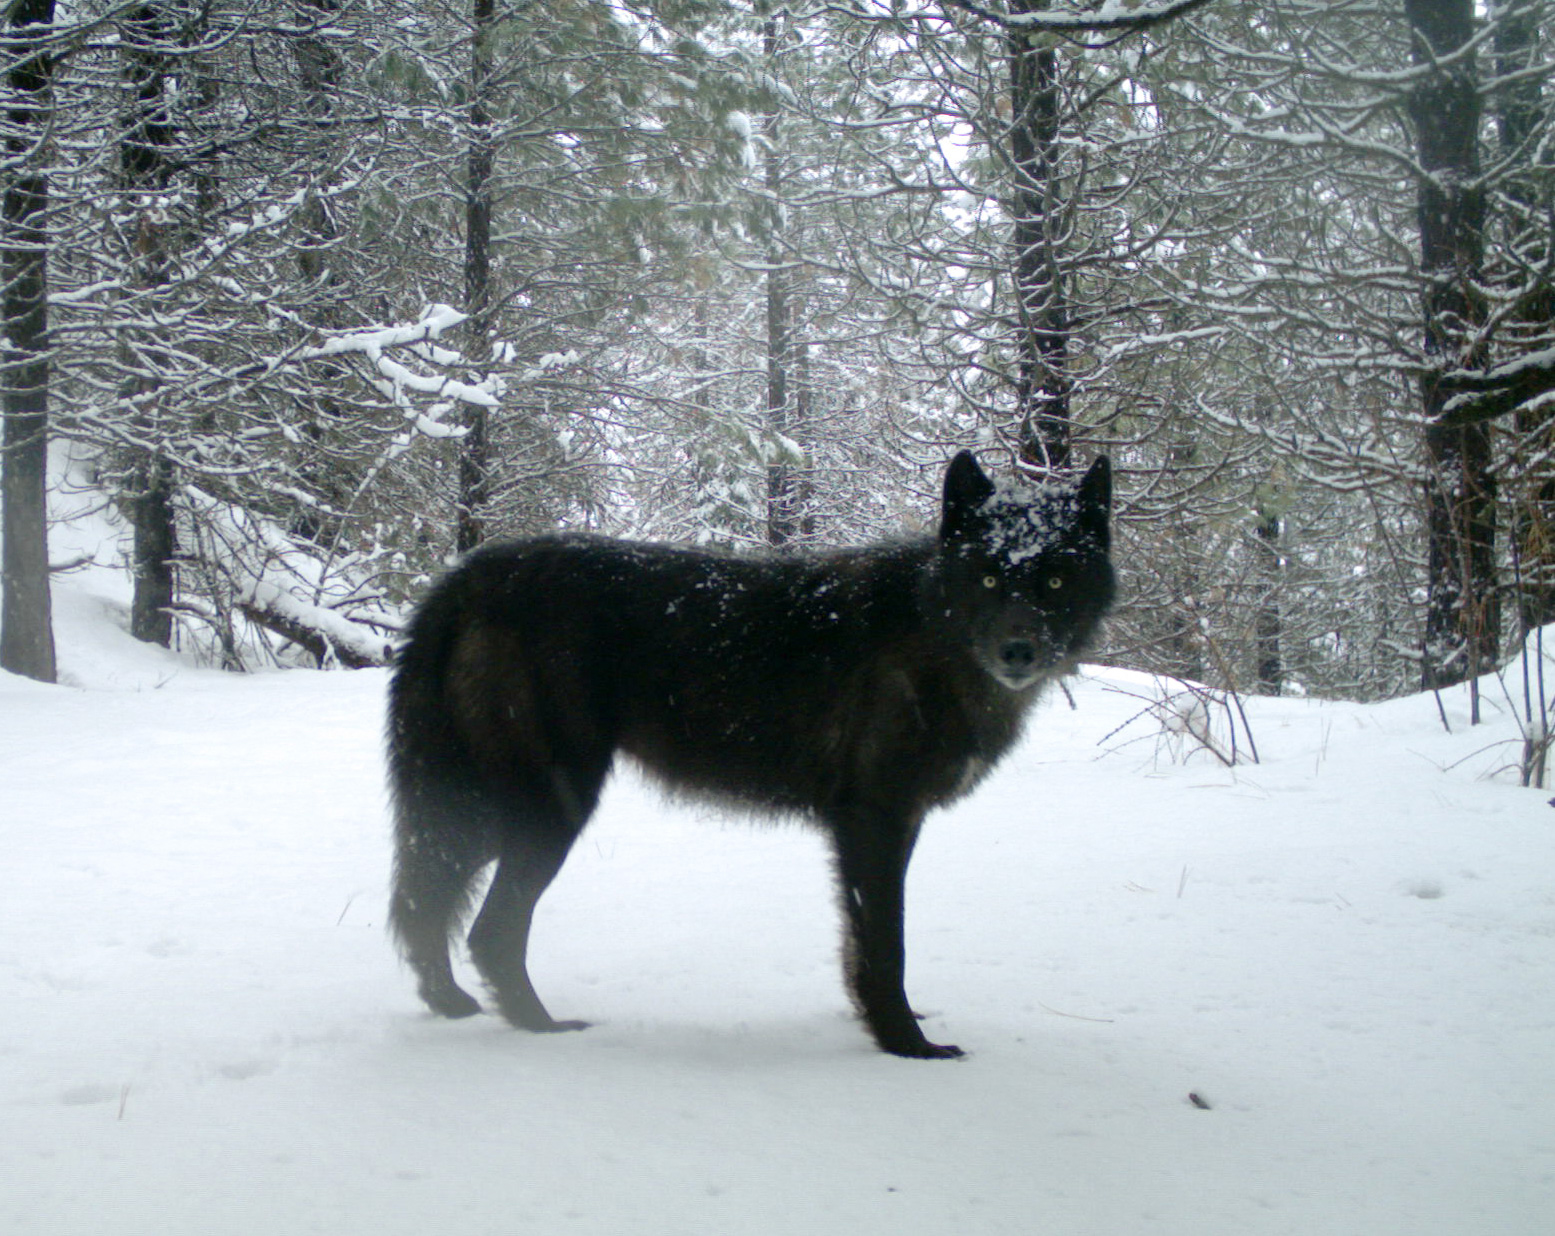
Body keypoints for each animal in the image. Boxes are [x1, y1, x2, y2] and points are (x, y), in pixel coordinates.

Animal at [387, 451, 1114, 1058]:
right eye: (988, 576)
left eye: (1054, 580)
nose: (1018, 651)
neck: (931, 631)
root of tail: (466, 577)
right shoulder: (874, 822)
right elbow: (886, 945)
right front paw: (906, 1047)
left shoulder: (886, 826)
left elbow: (859, 947)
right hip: (547, 810)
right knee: (486, 928)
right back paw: (540, 1028)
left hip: (485, 810)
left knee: (425, 902)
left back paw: (452, 1005)